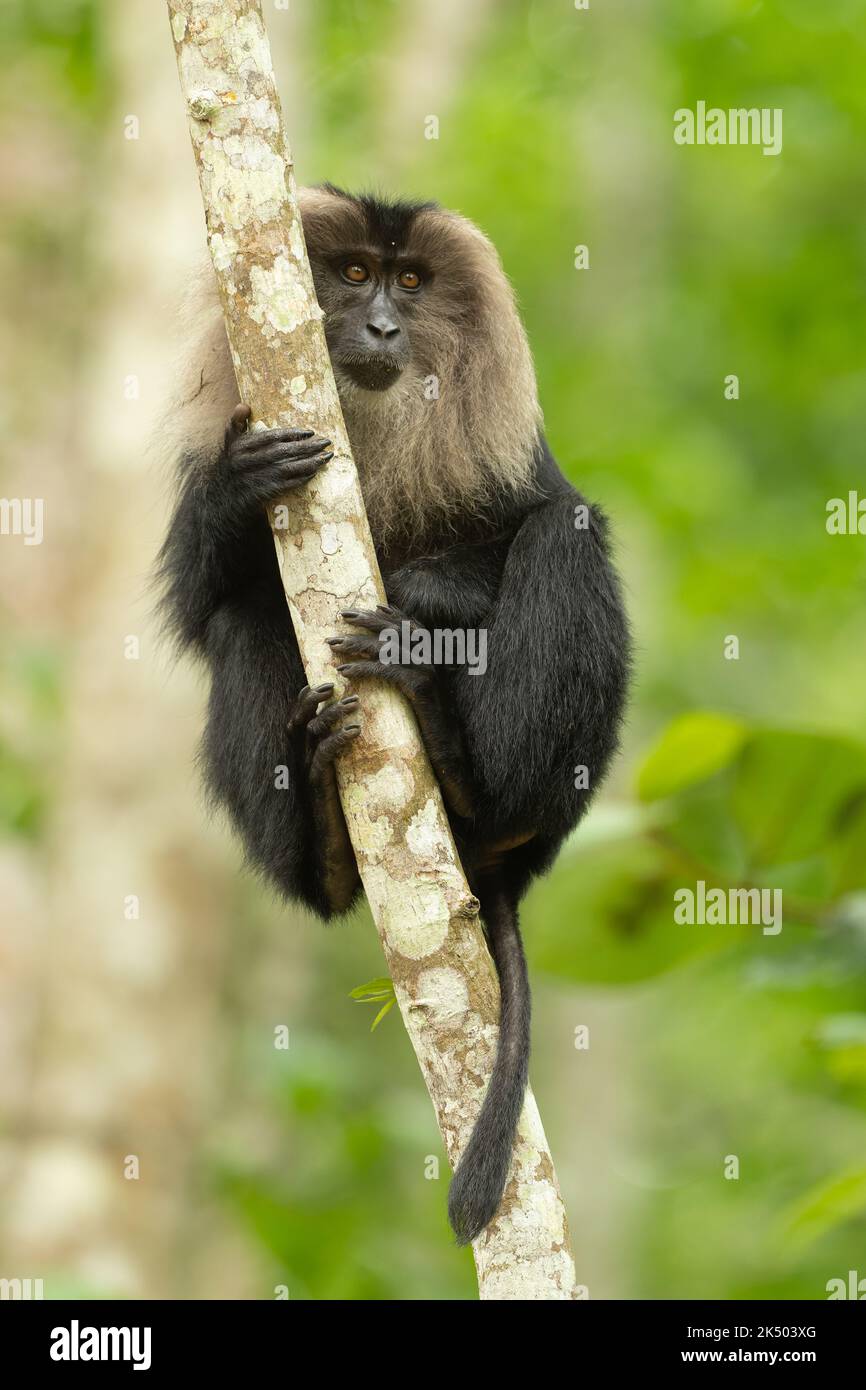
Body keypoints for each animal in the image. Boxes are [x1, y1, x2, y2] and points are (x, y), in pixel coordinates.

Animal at [157, 184, 630, 1245]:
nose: (381, 326)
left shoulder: (512, 454)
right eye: (355, 275)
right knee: (248, 620)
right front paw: (239, 490)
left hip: (554, 790)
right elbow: (201, 605)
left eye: (411, 283)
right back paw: (331, 848)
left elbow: (546, 520)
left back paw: (460, 764)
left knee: (562, 541)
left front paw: (424, 591)